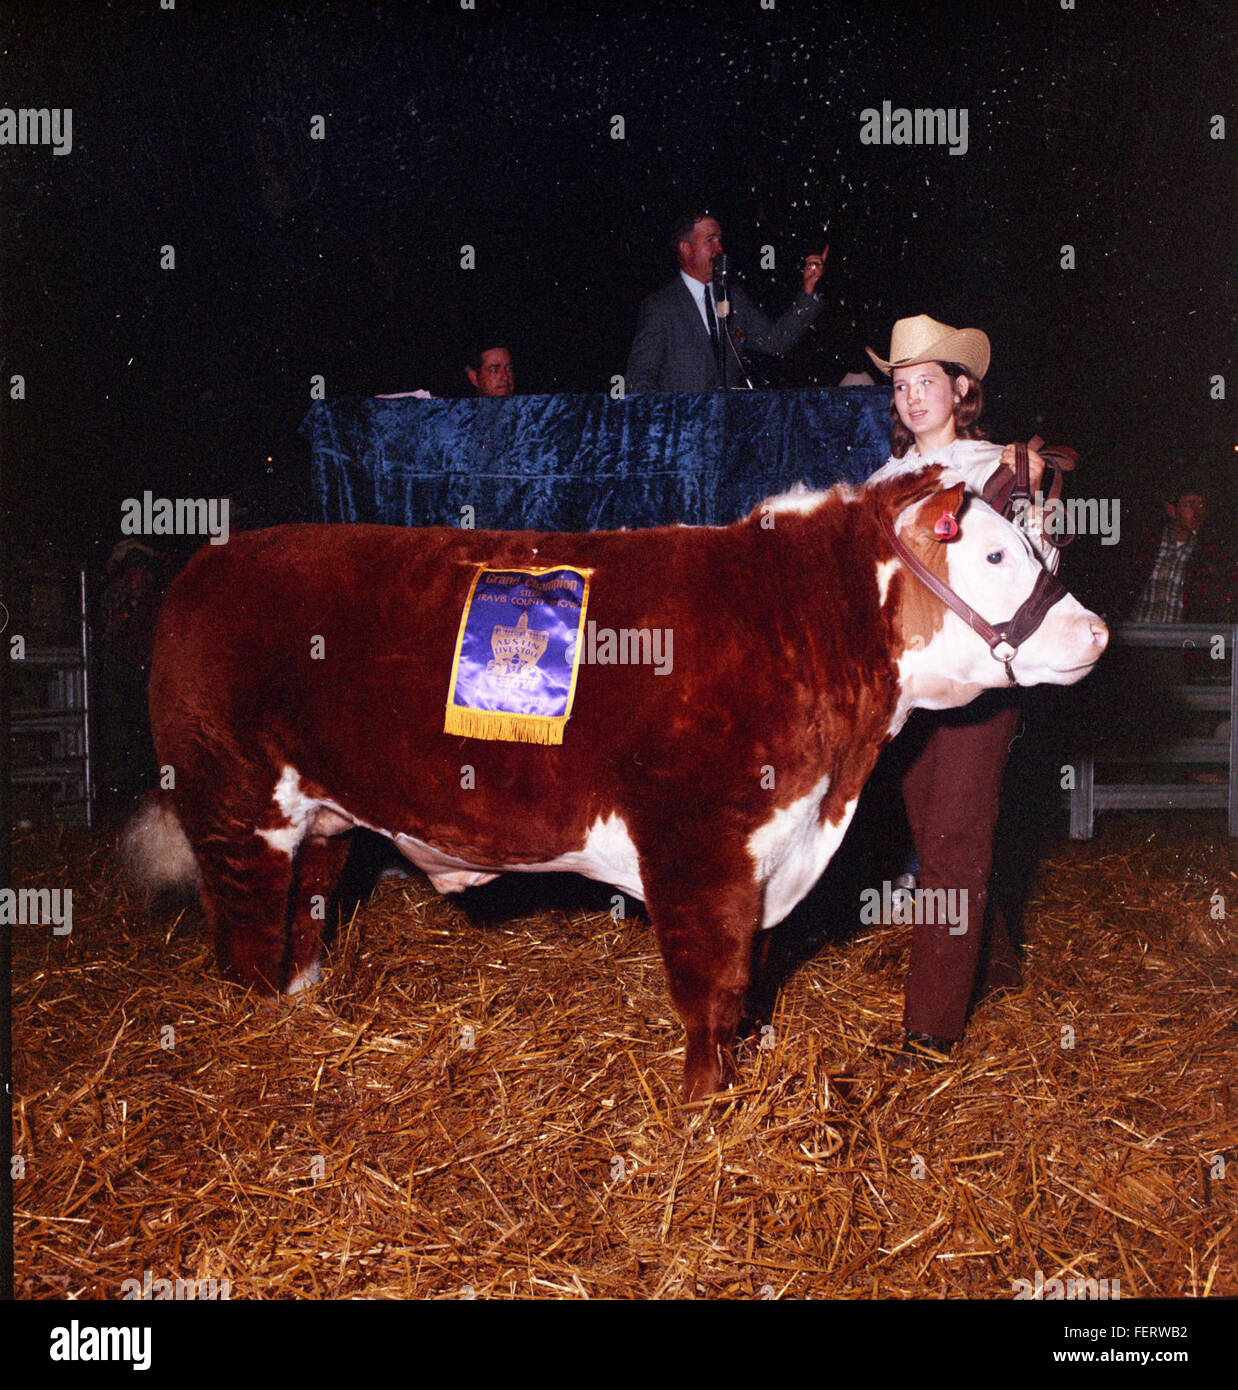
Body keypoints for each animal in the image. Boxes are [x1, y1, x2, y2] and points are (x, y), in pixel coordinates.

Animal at [125, 466, 1108, 1101]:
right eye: (993, 557)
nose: (1095, 633)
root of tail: (204, 566)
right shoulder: (700, 845)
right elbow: (713, 985)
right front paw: (709, 1106)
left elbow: (748, 983)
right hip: (234, 803)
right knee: (248, 931)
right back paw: (261, 1023)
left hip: (324, 812)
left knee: (309, 905)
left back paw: (306, 1000)